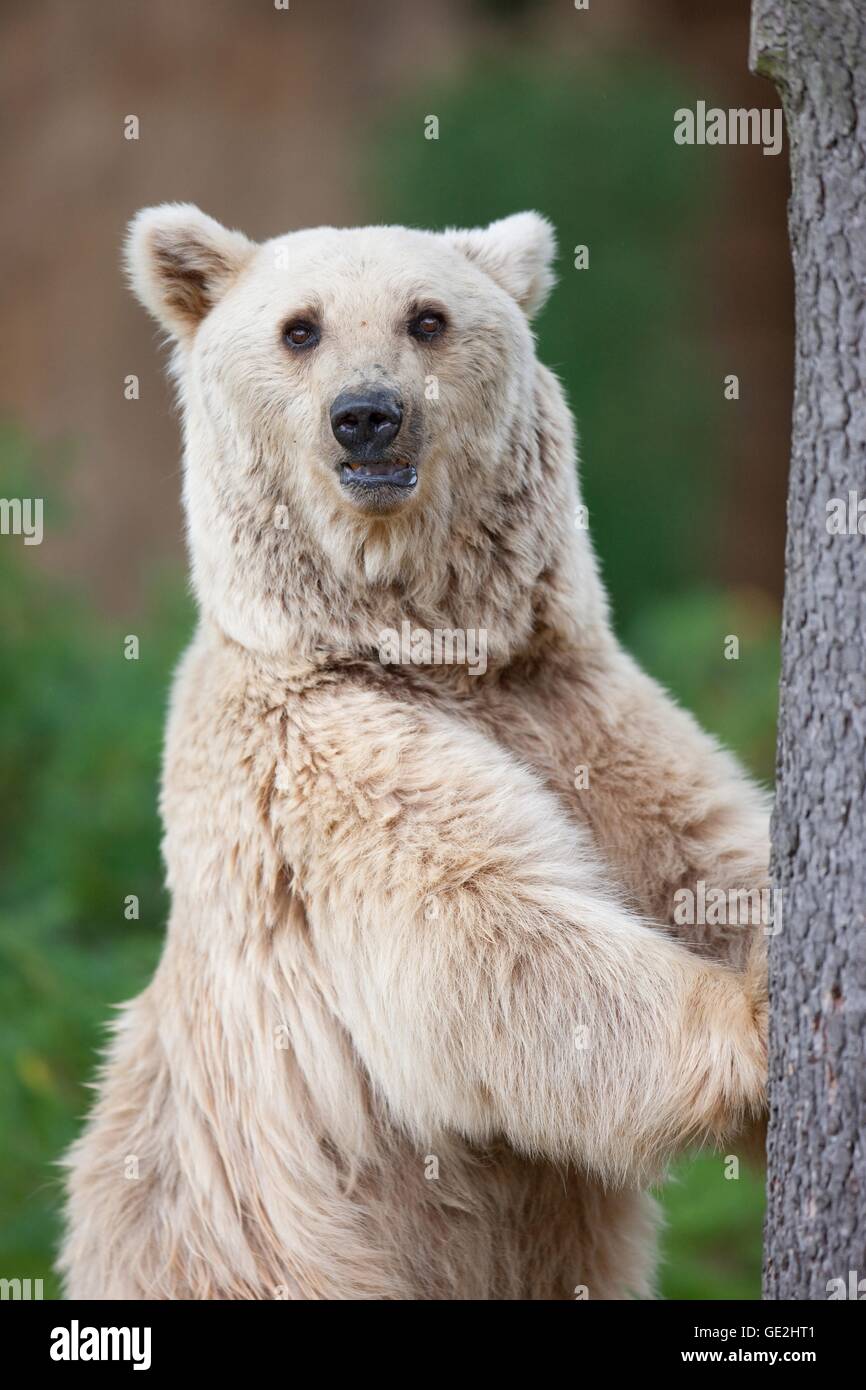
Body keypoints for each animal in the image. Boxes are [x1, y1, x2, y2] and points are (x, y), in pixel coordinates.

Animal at [59, 205, 769, 1300]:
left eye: (426, 317)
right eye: (300, 328)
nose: (367, 416)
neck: (423, 648)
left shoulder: (572, 712)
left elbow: (703, 854)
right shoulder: (309, 767)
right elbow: (482, 932)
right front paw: (752, 1017)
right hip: (229, 1252)